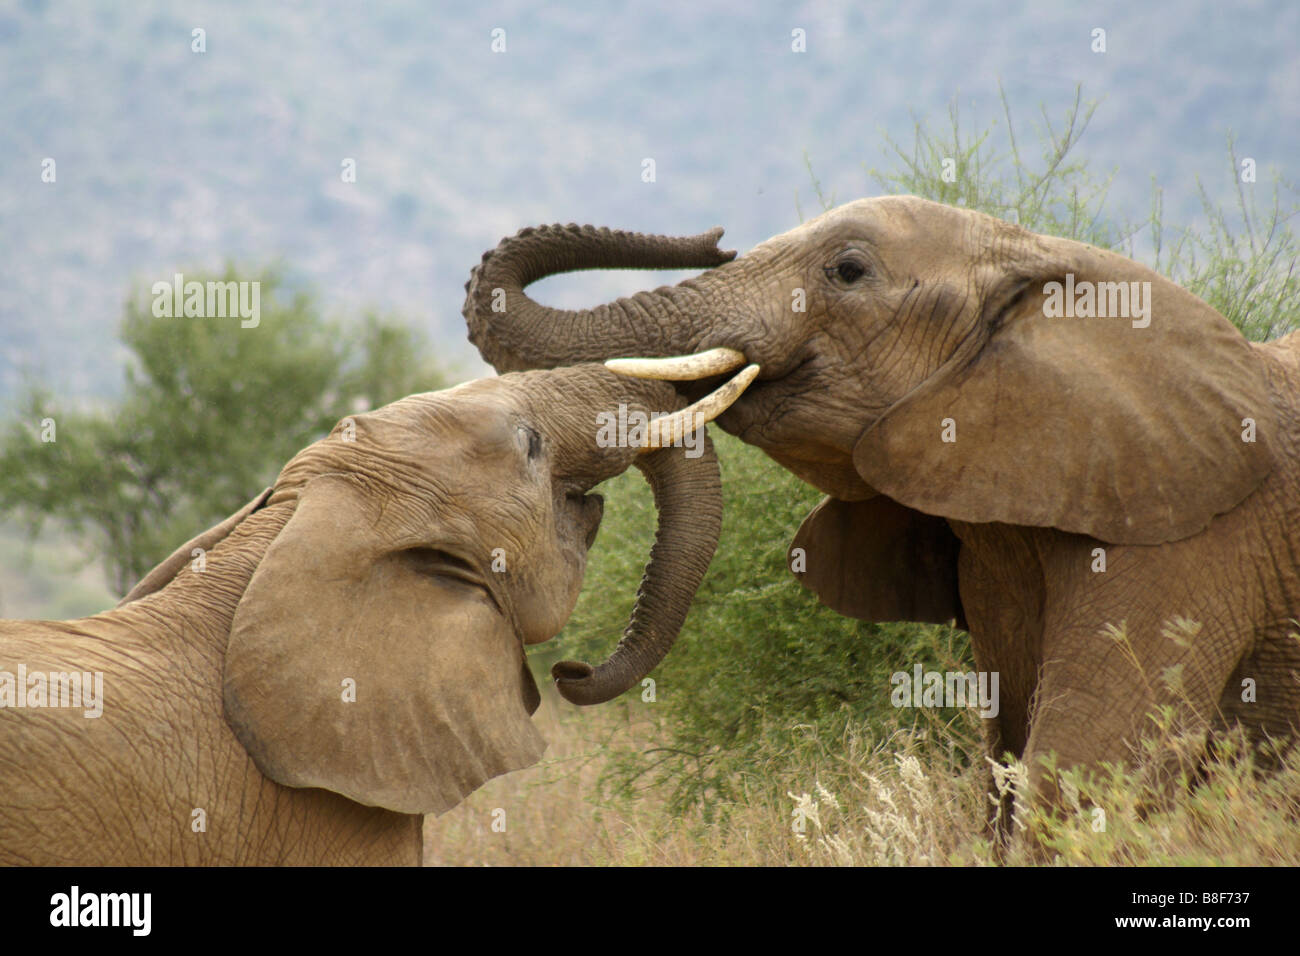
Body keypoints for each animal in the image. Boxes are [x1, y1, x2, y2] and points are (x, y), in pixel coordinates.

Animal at [463, 196, 1300, 830]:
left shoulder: (1190, 543)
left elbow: (1084, 769)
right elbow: (1007, 763)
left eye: (848, 271)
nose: (568, 672)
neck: (1044, 261)